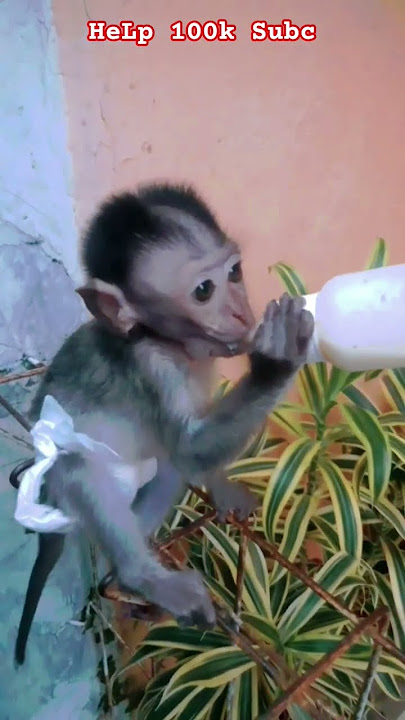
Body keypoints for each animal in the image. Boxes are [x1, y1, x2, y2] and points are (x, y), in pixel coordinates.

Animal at [14, 182, 314, 665]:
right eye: (203, 291)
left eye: (235, 273)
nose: (241, 313)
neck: (165, 341)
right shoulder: (155, 370)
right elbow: (190, 449)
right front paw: (276, 360)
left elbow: (195, 452)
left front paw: (222, 486)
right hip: (63, 476)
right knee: (86, 471)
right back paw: (141, 576)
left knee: (167, 470)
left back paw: (127, 580)